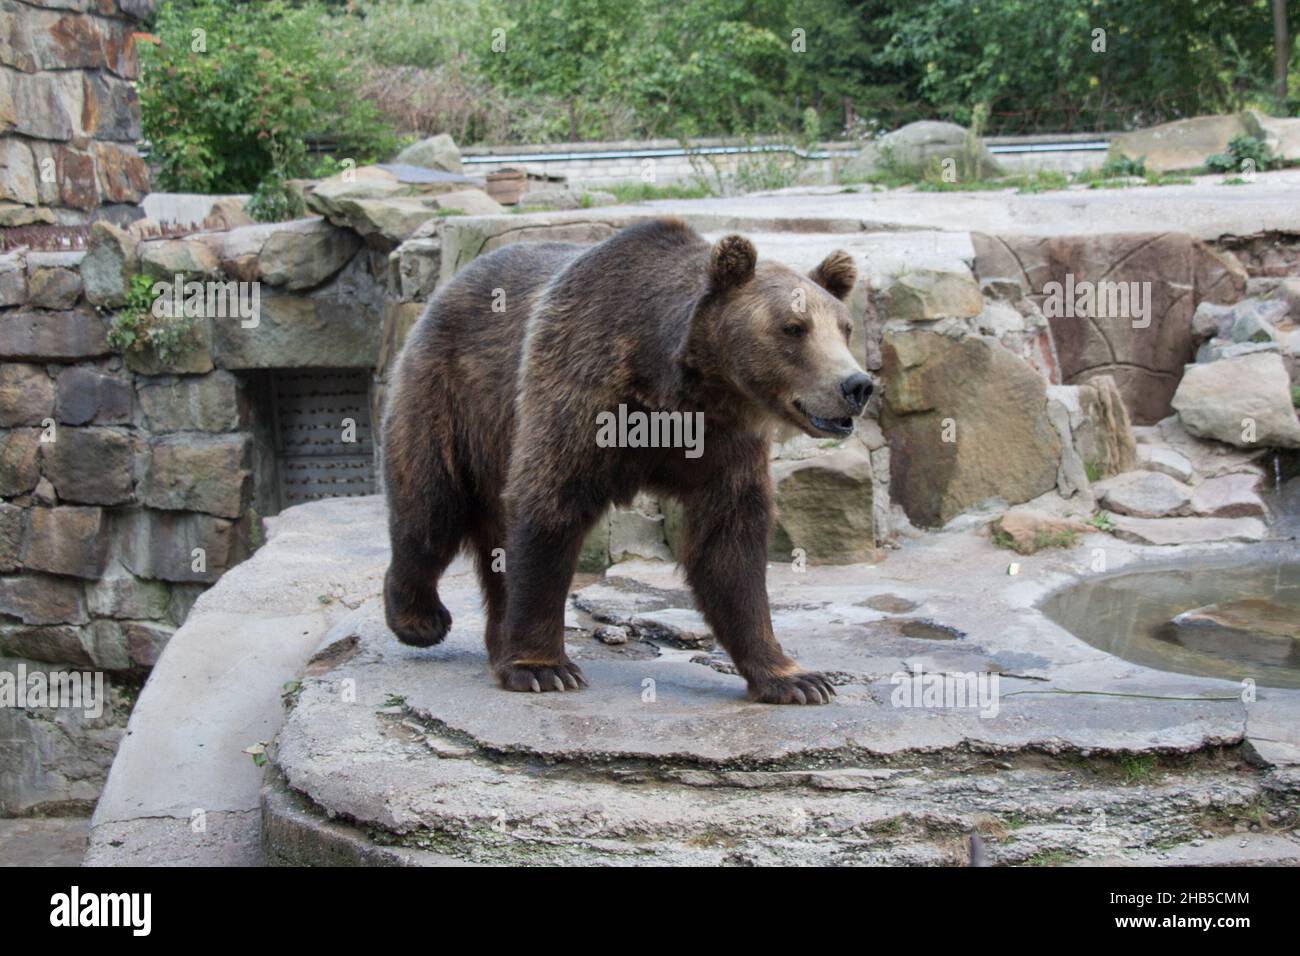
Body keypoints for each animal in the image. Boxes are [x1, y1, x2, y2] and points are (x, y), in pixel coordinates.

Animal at [382, 217, 871, 704]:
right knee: (430, 508)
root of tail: (446, 288)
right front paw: (543, 668)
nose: (857, 385)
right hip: (451, 397)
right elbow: (548, 507)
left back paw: (496, 640)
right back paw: (420, 619)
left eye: (845, 328)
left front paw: (795, 678)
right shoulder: (581, 391)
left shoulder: (726, 443)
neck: (677, 391)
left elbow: (731, 543)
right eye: (794, 327)